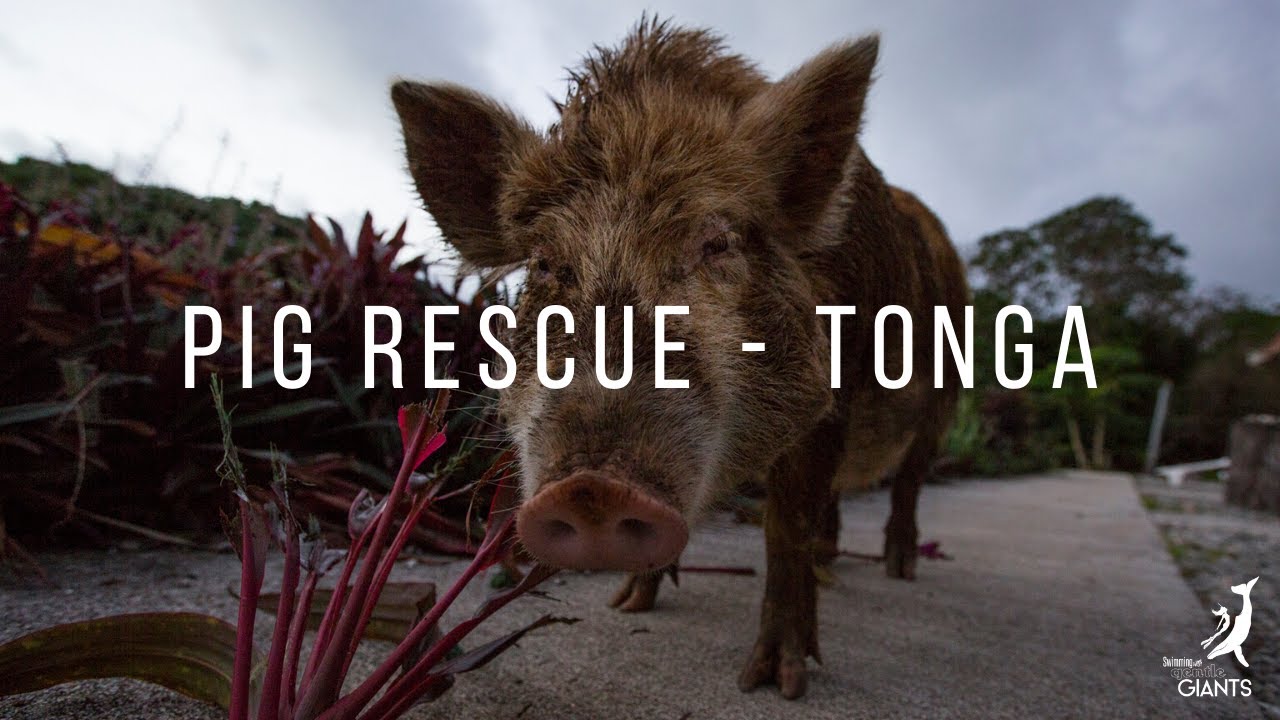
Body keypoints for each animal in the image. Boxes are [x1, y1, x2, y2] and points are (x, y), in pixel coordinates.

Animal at [391, 17, 967, 699]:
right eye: (544, 263)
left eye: (716, 243)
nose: (592, 487)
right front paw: (626, 605)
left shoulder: (835, 393)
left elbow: (784, 526)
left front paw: (773, 683)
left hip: (946, 394)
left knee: (908, 480)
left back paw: (900, 571)